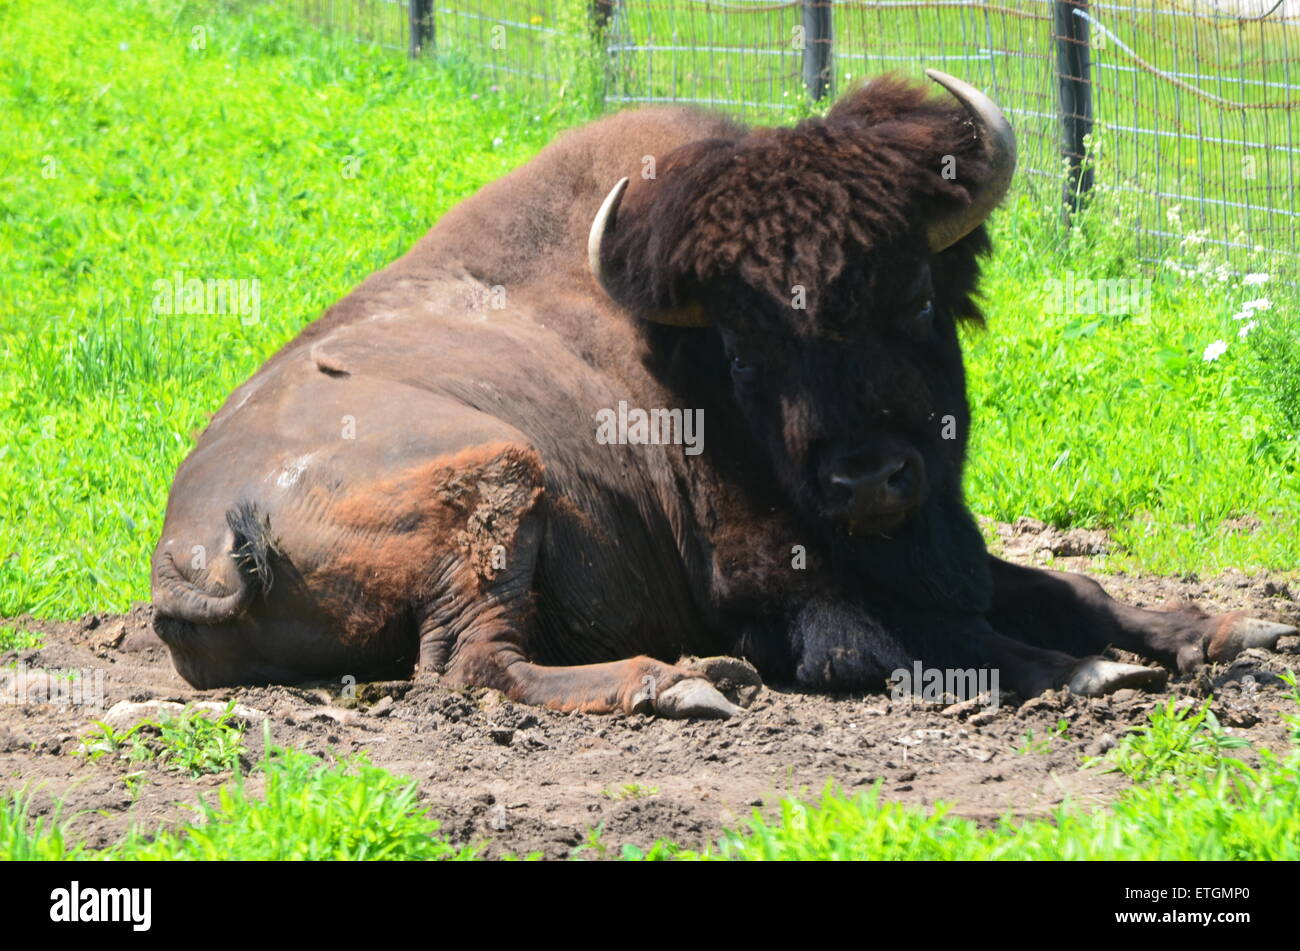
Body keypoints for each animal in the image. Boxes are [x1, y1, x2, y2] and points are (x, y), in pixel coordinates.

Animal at [151, 71, 1292, 718]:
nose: (868, 477)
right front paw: (1100, 675)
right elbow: (898, 639)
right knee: (469, 666)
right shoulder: (773, 579)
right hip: (499, 474)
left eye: (919, 295)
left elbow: (1066, 584)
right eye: (745, 356)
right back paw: (684, 682)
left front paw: (1230, 634)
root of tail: (193, 546)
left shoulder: (938, 546)